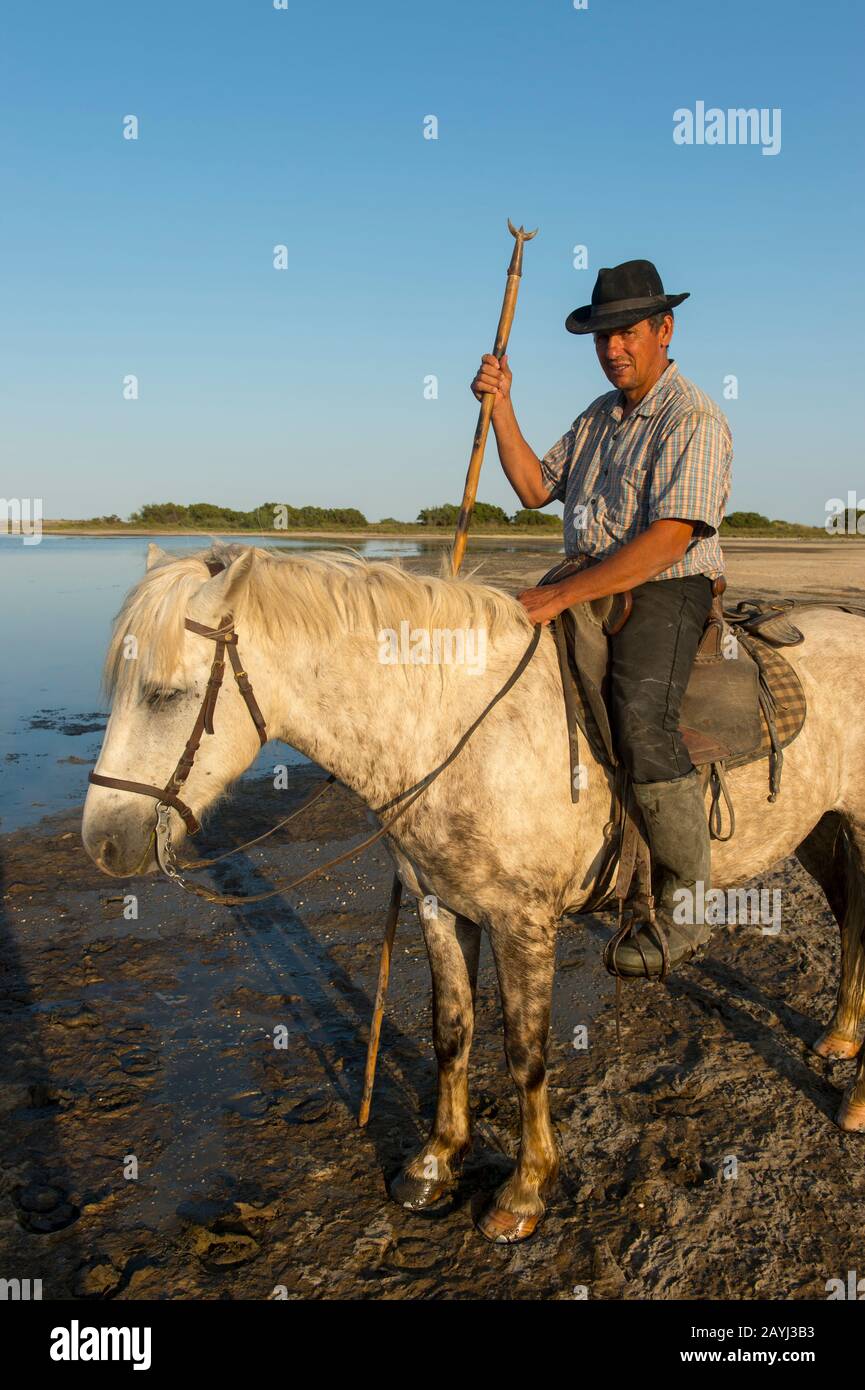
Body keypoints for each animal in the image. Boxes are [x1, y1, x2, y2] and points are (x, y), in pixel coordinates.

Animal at [82, 542, 865, 1243]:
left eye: (166, 695)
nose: (103, 844)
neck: (452, 725)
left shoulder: (522, 921)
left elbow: (525, 1051)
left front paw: (525, 1190)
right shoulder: (439, 904)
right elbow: (450, 1031)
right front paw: (435, 1164)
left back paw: (853, 1100)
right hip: (823, 829)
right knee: (851, 925)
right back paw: (839, 1036)